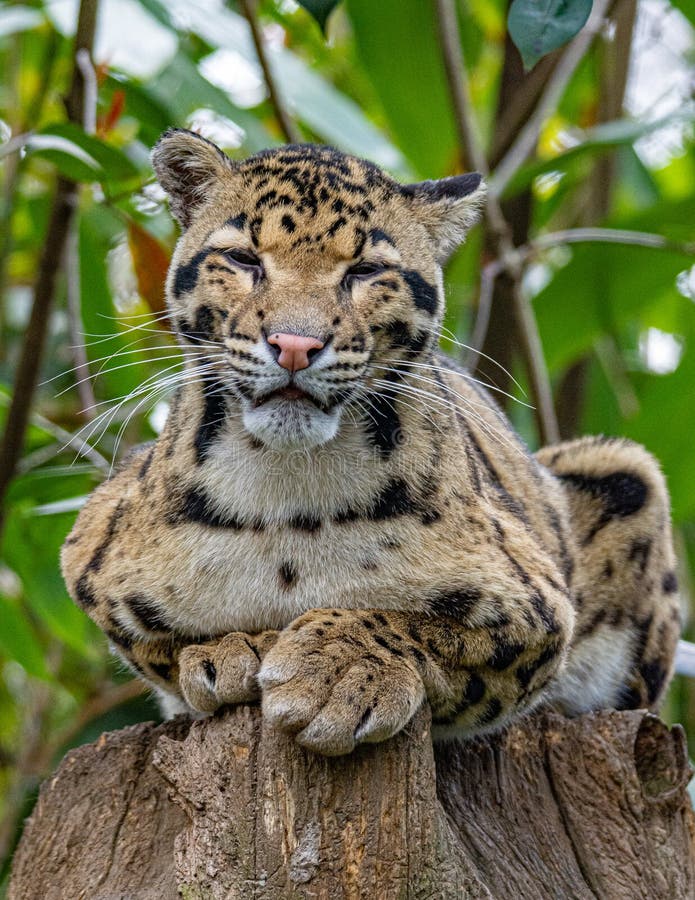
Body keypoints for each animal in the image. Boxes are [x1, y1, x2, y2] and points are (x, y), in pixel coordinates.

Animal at [61, 129, 681, 756]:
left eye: (364, 271)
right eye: (243, 259)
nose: (294, 344)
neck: (287, 483)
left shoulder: (538, 603)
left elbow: (426, 629)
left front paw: (339, 669)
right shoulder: (93, 550)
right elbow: (162, 648)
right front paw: (229, 650)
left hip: (625, 471)